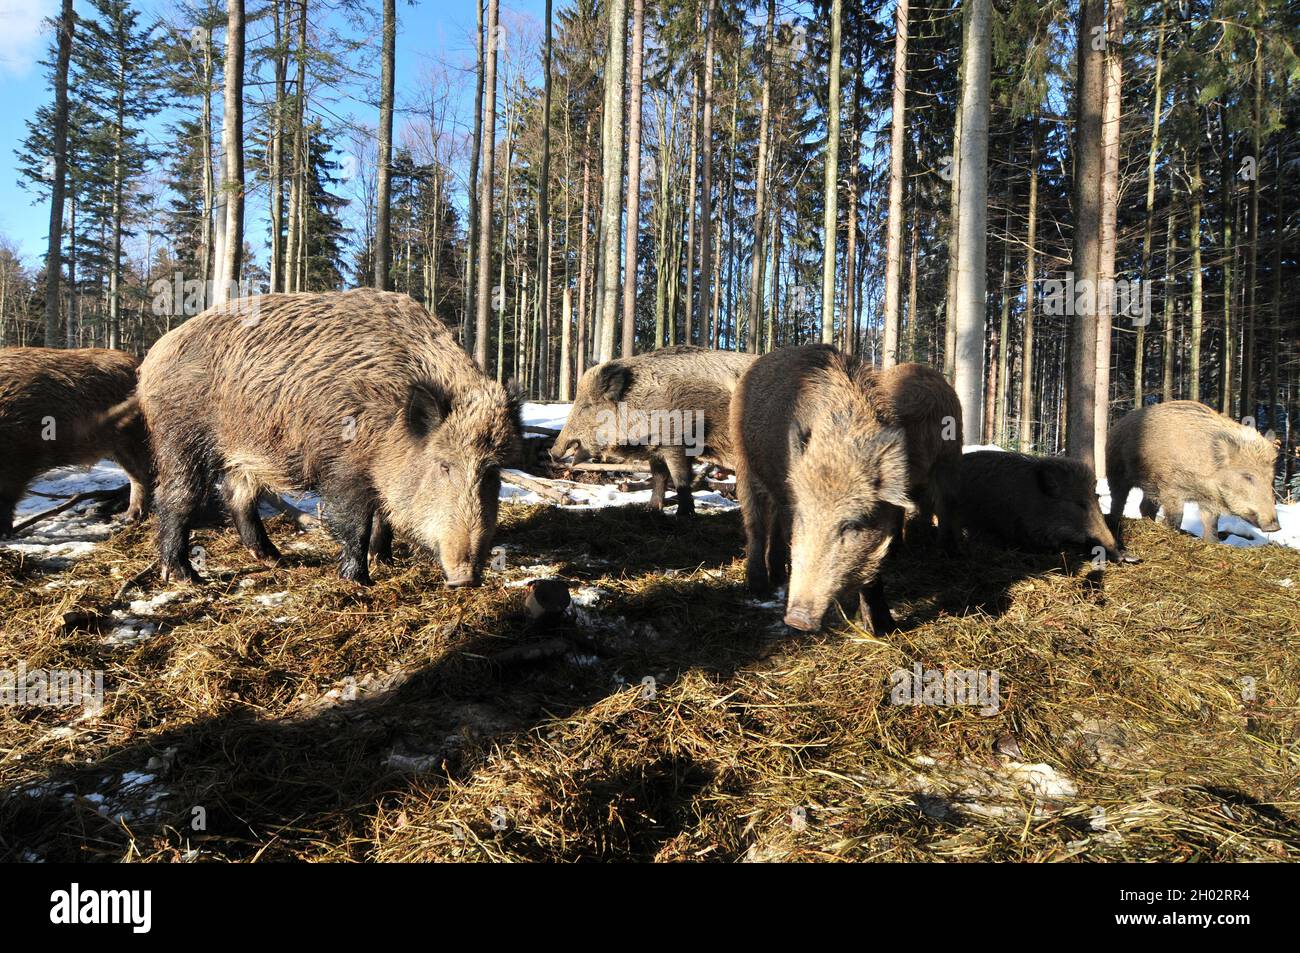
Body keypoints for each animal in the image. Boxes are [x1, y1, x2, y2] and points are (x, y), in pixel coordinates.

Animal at [136, 289, 522, 586]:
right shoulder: (342, 465)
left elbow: (383, 517)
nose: (466, 578)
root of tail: (155, 353)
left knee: (238, 494)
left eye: (493, 472)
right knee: (176, 497)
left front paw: (386, 562)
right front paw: (359, 580)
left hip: (245, 451)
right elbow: (354, 522)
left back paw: (275, 559)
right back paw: (186, 577)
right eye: (444, 466)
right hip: (180, 437)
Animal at [552, 345, 755, 519]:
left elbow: (680, 478)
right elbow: (659, 477)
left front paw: (683, 515)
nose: (552, 452)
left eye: (586, 406)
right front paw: (650, 510)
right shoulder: (655, 448)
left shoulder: (677, 441)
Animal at [732, 344, 914, 634]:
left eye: (851, 525)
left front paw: (883, 629)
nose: (797, 620)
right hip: (743, 464)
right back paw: (759, 589)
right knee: (756, 525)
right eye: (804, 518)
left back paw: (778, 578)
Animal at [1105, 400, 1280, 550]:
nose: (1275, 526)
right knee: (1118, 500)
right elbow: (1176, 518)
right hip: (1116, 472)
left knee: (1145, 507)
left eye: (1271, 478)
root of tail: (1118, 423)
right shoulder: (1170, 488)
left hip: (1151, 487)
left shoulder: (1208, 500)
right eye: (1248, 476)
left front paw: (1212, 543)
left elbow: (1211, 523)